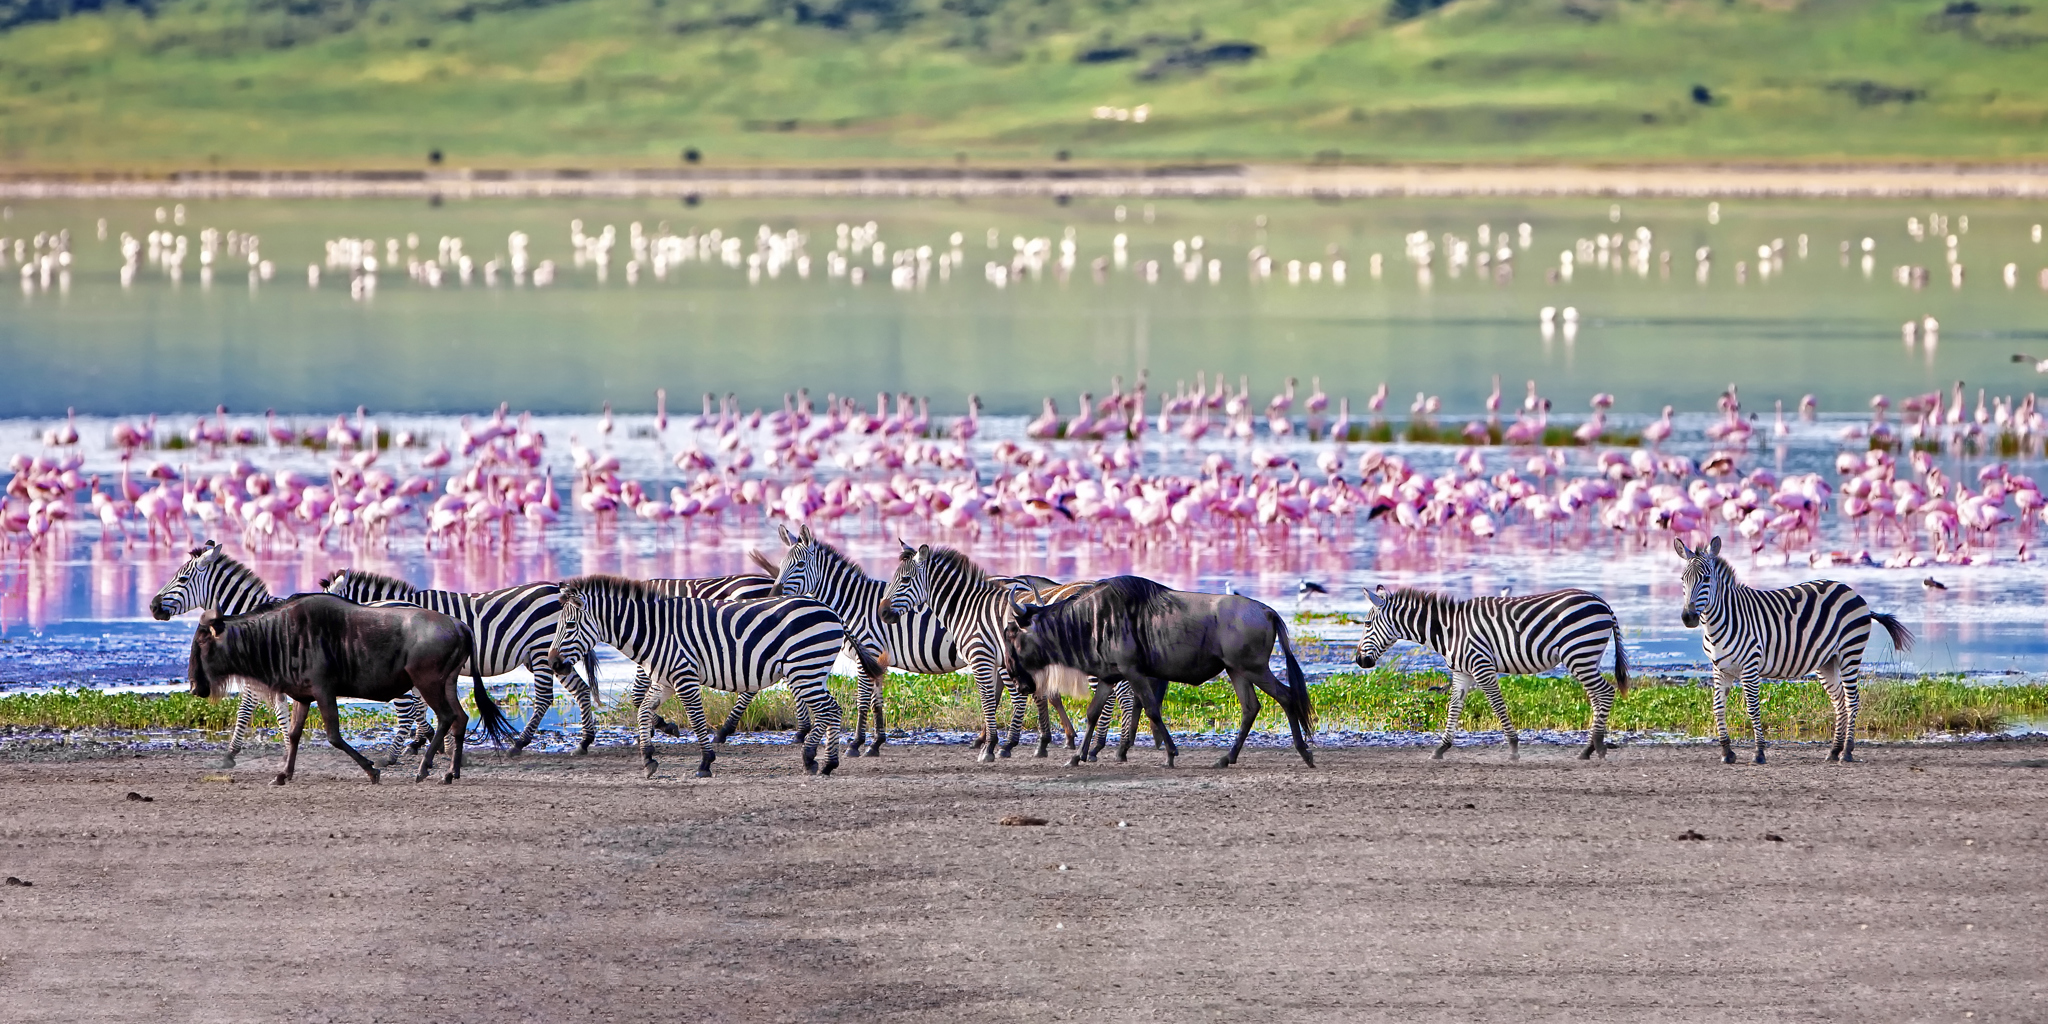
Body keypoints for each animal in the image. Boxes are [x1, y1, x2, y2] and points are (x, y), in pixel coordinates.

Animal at [149, 541, 428, 767]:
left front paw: (241, 754)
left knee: (407, 710)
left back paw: (392, 757)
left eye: (182, 580)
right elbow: (271, 710)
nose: (152, 606)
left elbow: (251, 710)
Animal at [319, 568, 602, 756]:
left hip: (542, 652)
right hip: (553, 656)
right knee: (581, 689)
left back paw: (519, 744)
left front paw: (424, 740)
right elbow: (420, 705)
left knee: (544, 698)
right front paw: (424, 739)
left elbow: (418, 706)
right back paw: (585, 741)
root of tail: (558, 590)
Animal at [544, 574, 860, 778]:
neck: (655, 630)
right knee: (832, 710)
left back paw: (817, 760)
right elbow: (644, 712)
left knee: (830, 710)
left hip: (805, 669)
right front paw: (648, 758)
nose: (553, 663)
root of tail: (830, 611)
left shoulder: (685, 676)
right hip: (811, 671)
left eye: (569, 626)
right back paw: (822, 762)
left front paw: (705, 762)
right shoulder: (664, 681)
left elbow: (696, 720)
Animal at [1354, 584, 1629, 760]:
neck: (1448, 630)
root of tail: (1602, 602)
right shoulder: (1462, 672)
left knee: (1605, 692)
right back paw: (1589, 749)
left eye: (1366, 624)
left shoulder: (1482, 667)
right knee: (1597, 696)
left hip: (1578, 653)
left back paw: (1596, 747)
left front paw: (1514, 748)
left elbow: (1497, 706)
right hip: (1586, 657)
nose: (1359, 661)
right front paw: (1441, 748)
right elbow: (1454, 708)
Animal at [1675, 536, 1914, 764]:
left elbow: (1752, 708)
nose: (1688, 617)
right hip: (1827, 661)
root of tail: (1850, 590)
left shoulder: (1750, 666)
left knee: (1852, 700)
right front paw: (1727, 752)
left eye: (1706, 579)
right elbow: (1718, 708)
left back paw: (1846, 751)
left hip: (1850, 652)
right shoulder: (1720, 669)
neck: (1720, 622)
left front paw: (1759, 752)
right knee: (1839, 701)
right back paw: (1834, 751)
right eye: (1682, 580)